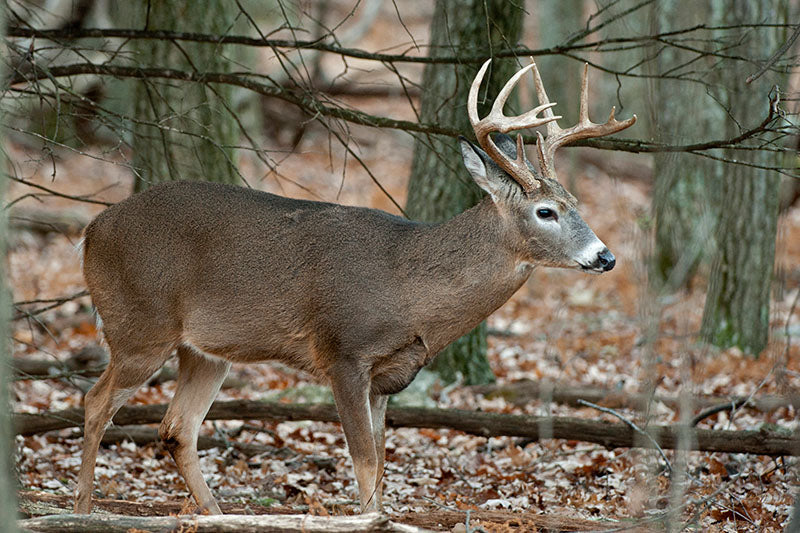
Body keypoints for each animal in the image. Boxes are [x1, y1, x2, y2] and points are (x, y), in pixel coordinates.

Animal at [73, 58, 635, 515]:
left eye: (576, 203)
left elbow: (382, 466)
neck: (410, 290)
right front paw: (368, 519)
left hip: (206, 351)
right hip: (139, 326)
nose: (605, 257)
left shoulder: (388, 375)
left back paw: (215, 514)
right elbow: (364, 463)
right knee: (97, 403)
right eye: (546, 211)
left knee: (177, 428)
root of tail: (91, 230)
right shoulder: (343, 351)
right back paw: (83, 508)